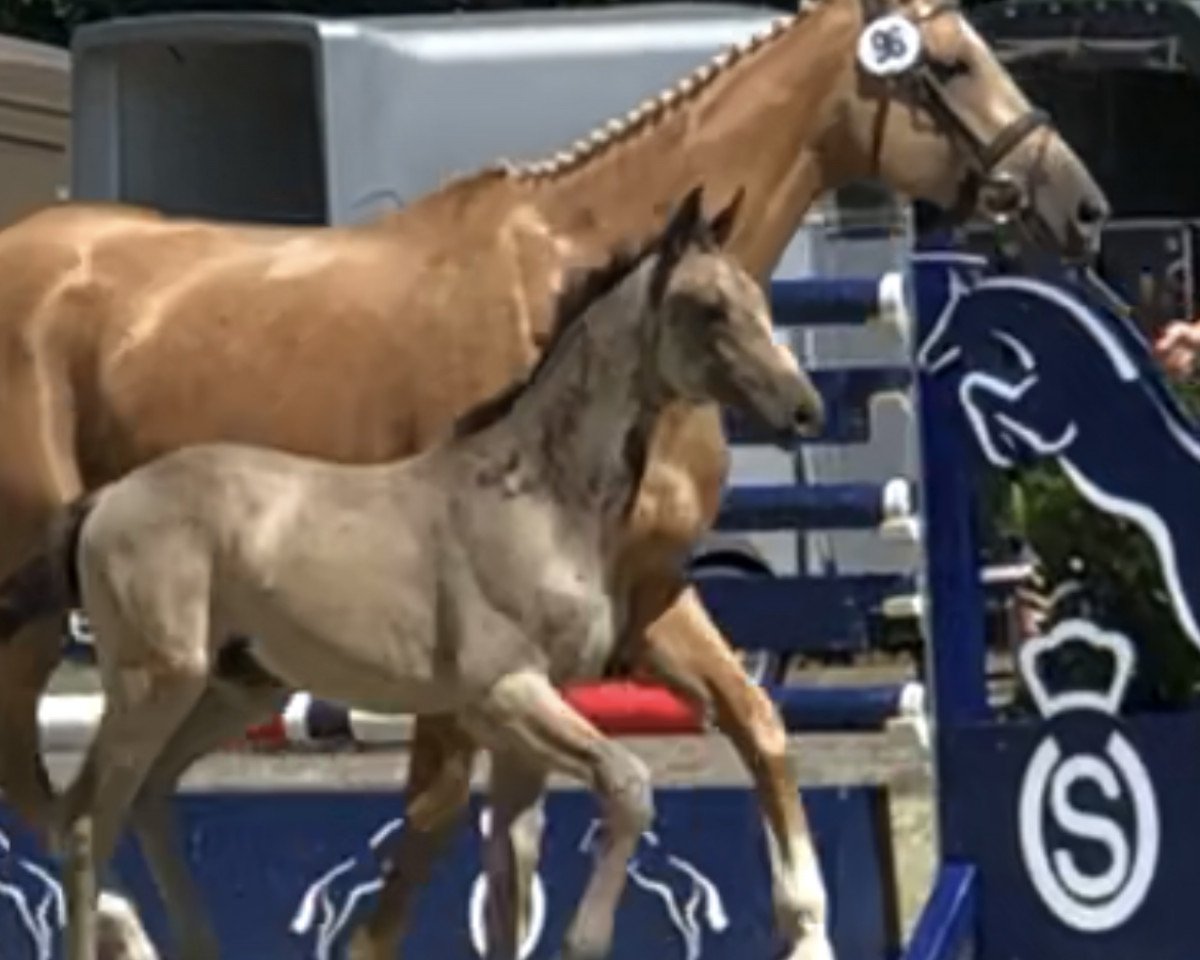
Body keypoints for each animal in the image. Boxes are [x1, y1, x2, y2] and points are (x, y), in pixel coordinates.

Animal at [0, 189, 823, 960]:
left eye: (758, 301)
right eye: (709, 308)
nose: (804, 409)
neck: (536, 495)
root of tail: (105, 499)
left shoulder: (523, 725)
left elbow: (510, 882)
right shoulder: (506, 694)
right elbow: (628, 788)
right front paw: (583, 939)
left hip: (235, 688)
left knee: (149, 796)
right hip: (154, 684)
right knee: (84, 822)